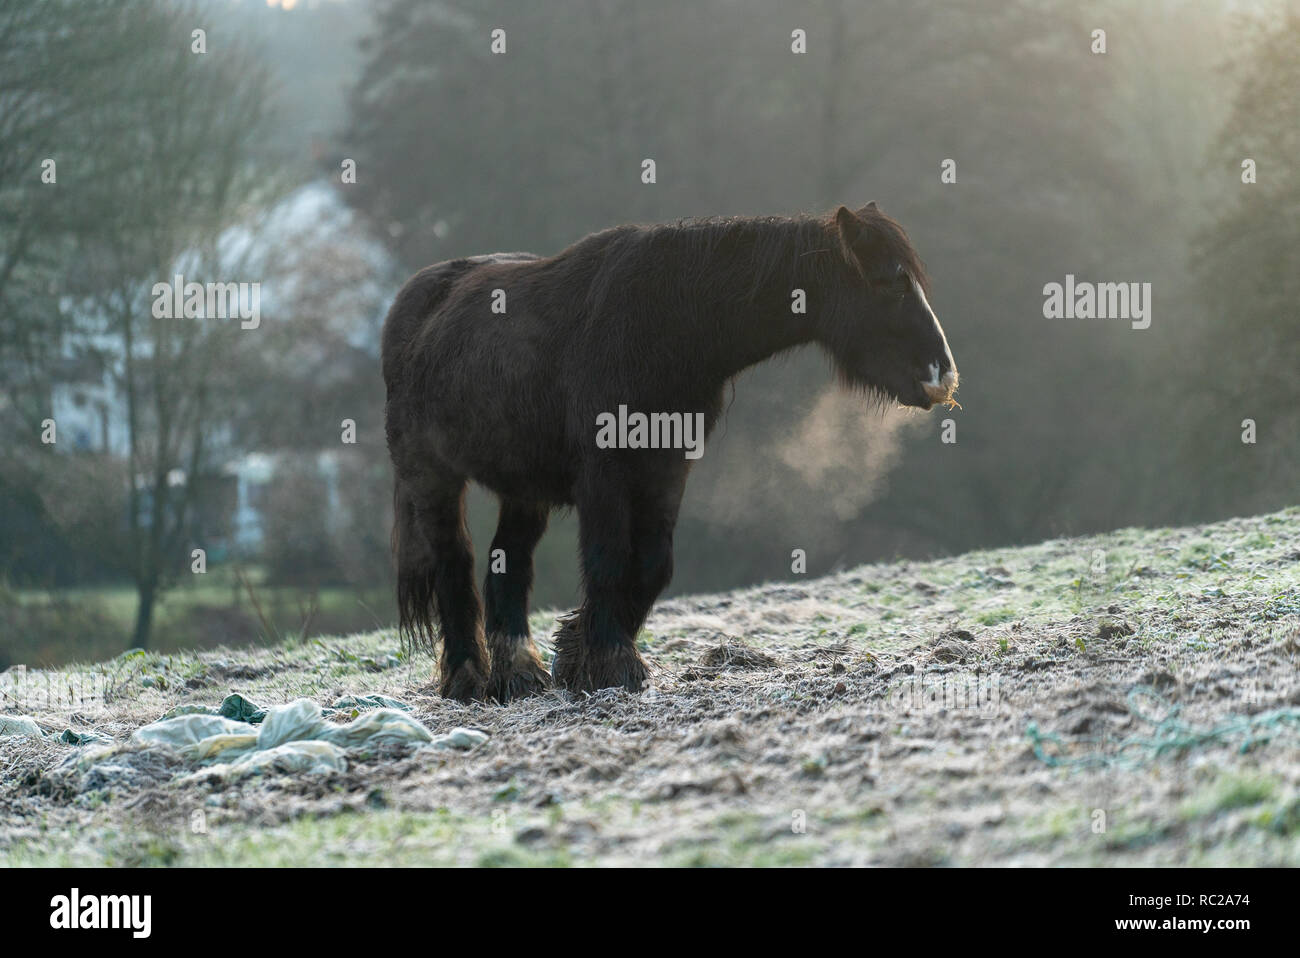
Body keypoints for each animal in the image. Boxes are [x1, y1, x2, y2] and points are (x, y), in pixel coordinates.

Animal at [381, 202, 958, 701]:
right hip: (432, 478)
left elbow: (655, 563)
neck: (665, 321)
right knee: (454, 562)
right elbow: (609, 558)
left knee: (509, 563)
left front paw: (579, 654)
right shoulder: (605, 471)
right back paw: (467, 678)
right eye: (888, 283)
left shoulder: (668, 466)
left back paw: (519, 675)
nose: (942, 374)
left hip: (524, 490)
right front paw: (609, 664)